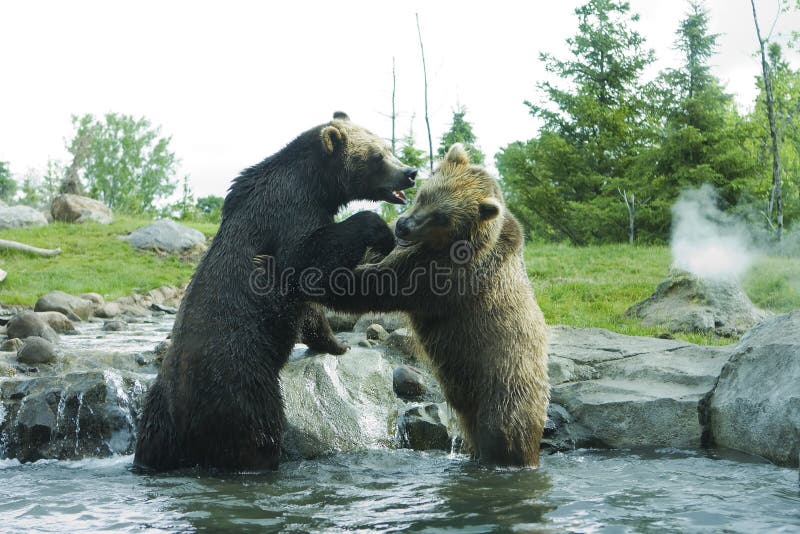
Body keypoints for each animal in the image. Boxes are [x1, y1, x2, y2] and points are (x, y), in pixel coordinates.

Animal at [133, 112, 416, 472]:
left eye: (388, 146)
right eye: (377, 155)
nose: (410, 172)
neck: (315, 184)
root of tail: (183, 416)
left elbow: (309, 307)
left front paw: (335, 343)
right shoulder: (288, 216)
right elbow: (309, 261)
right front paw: (379, 231)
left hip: (157, 414)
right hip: (242, 382)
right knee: (257, 430)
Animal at [307, 143, 549, 466]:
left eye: (442, 217)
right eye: (425, 194)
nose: (403, 225)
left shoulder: (446, 275)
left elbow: (378, 284)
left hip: (504, 383)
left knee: (503, 430)